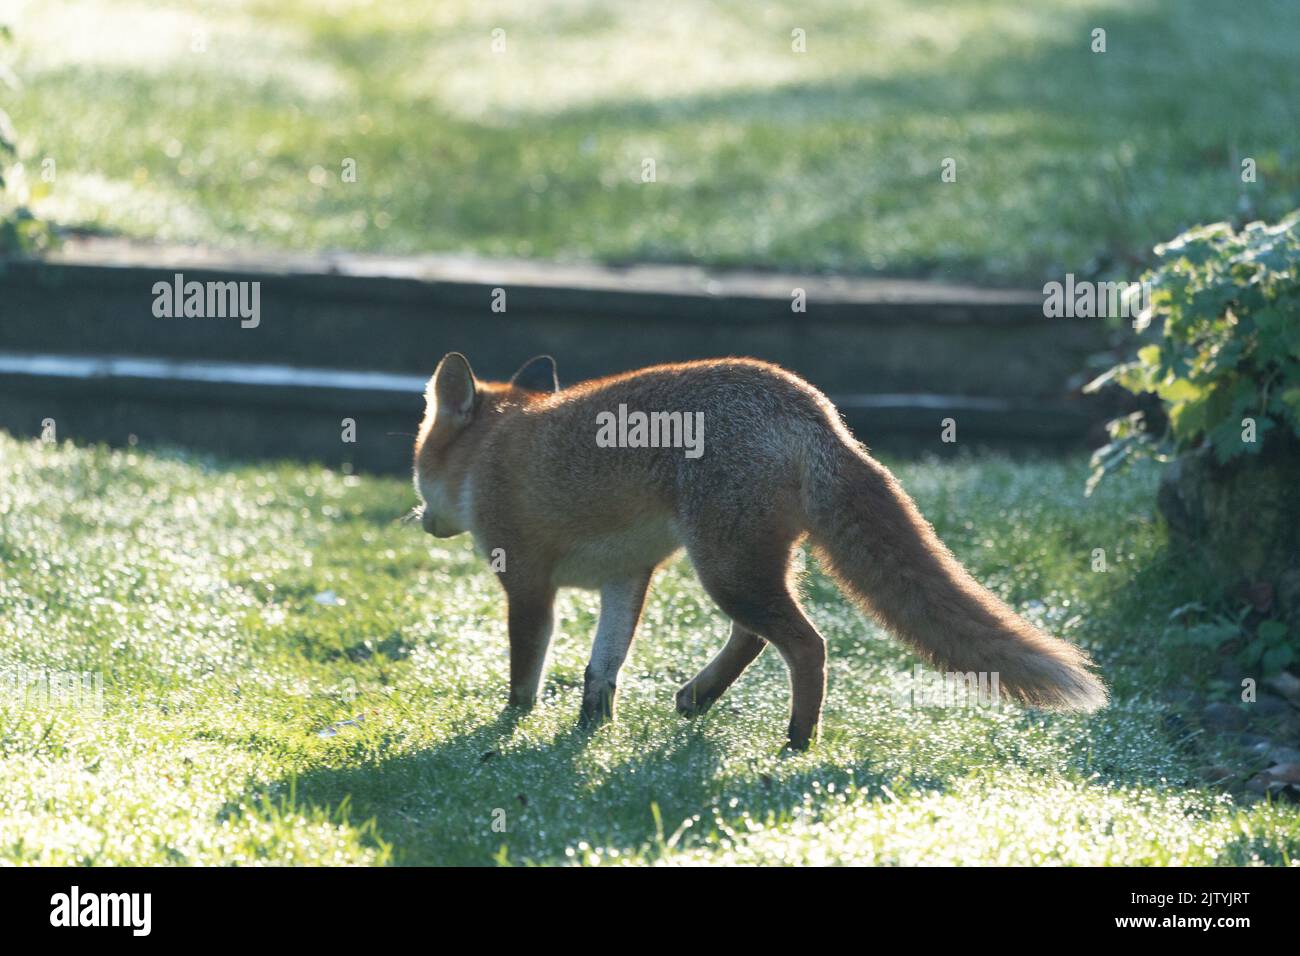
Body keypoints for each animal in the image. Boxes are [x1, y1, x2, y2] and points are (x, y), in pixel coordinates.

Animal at [413, 353, 1107, 750]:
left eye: (417, 464)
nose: (422, 521)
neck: (488, 452)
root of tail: (814, 408)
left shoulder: (527, 579)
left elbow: (525, 672)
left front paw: (509, 727)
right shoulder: (626, 575)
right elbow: (602, 669)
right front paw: (591, 731)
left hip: (725, 569)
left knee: (806, 644)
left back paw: (798, 741)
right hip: (742, 566)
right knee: (755, 637)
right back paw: (700, 699)